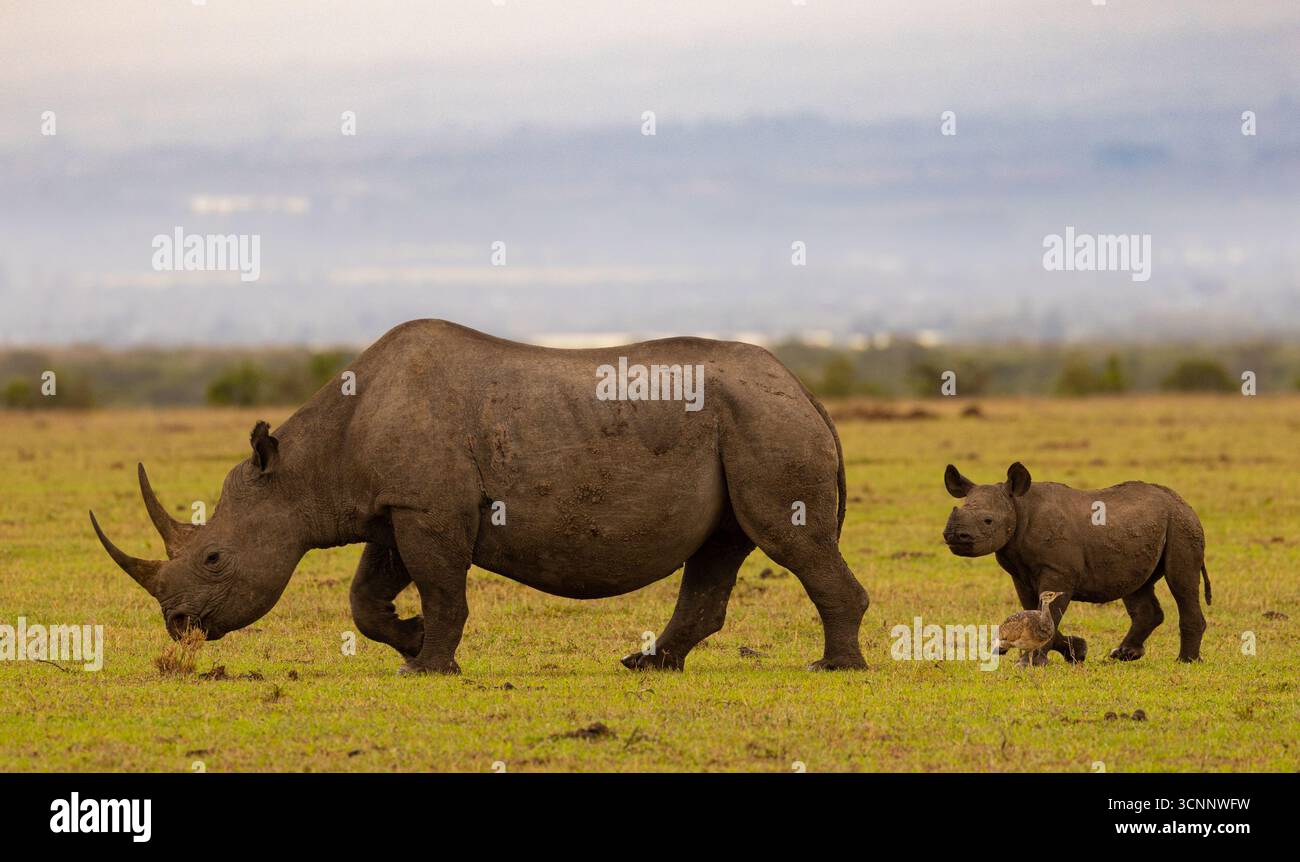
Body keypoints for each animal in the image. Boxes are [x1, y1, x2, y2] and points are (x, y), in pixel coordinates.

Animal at [91, 320, 869, 673]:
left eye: (214, 558)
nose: (178, 625)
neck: (308, 466)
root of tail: (806, 390)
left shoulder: (428, 509)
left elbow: (442, 589)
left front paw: (430, 665)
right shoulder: (393, 509)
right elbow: (366, 599)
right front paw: (408, 645)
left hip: (765, 423)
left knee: (785, 540)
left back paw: (833, 668)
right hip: (749, 422)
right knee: (723, 548)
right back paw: (646, 665)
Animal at [942, 462, 1211, 664]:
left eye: (988, 521)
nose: (954, 536)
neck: (1018, 506)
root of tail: (1182, 501)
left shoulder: (1059, 572)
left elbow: (1051, 613)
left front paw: (1035, 662)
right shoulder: (1020, 574)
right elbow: (1036, 613)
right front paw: (1077, 651)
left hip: (1181, 523)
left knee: (1182, 583)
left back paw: (1186, 661)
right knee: (1137, 587)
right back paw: (1123, 654)